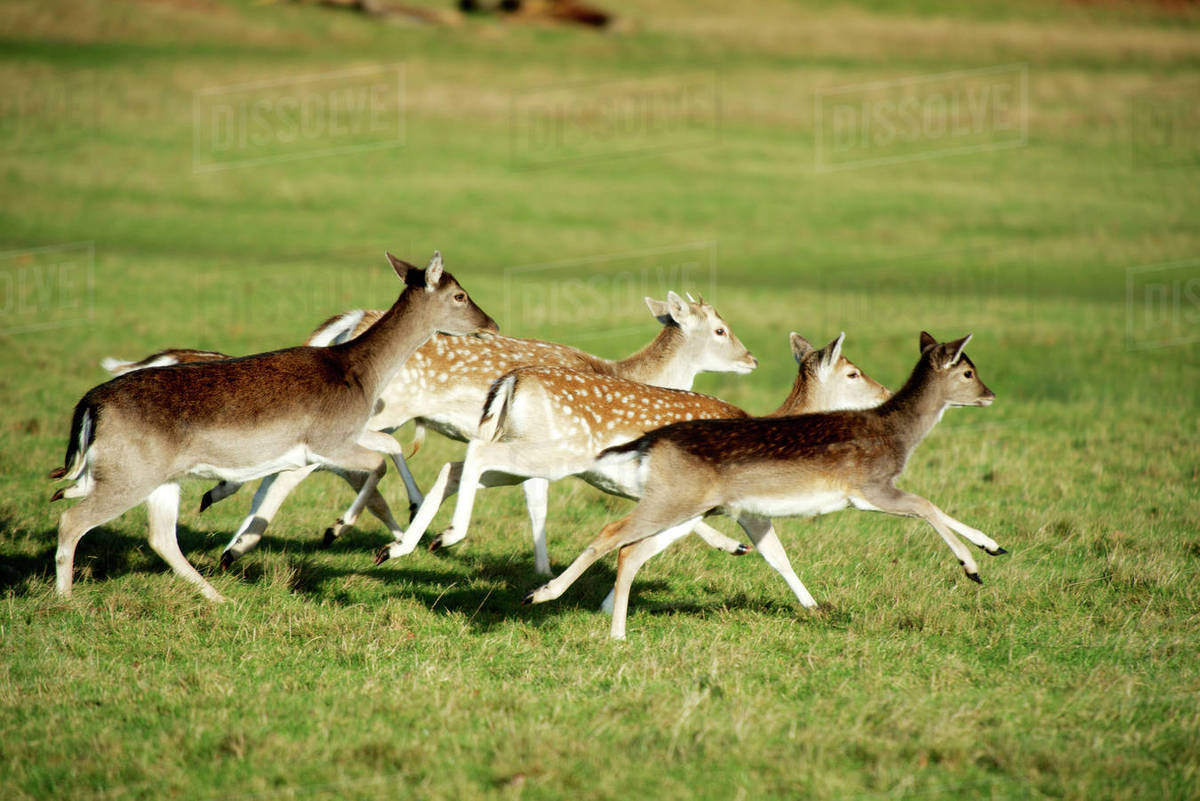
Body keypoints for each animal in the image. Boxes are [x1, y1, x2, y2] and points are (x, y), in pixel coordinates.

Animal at [48, 252, 497, 602]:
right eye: (459, 295)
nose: (490, 323)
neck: (362, 376)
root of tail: (89, 407)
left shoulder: (347, 435)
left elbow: (391, 449)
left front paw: (411, 507)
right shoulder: (327, 440)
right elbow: (377, 463)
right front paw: (341, 527)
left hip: (160, 478)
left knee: (160, 537)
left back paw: (220, 598)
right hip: (129, 474)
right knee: (72, 520)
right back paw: (66, 599)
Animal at [374, 331, 892, 611]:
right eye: (852, 372)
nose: (886, 391)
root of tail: (512, 381)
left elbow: (771, 552)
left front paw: (813, 605)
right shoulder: (710, 500)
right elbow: (763, 550)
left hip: (524, 449)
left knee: (454, 465)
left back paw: (402, 546)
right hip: (554, 452)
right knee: (474, 456)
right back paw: (449, 535)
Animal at [523, 332, 1006, 639]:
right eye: (967, 371)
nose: (991, 394)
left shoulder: (757, 512)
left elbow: (778, 557)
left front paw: (994, 546)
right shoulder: (868, 487)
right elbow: (925, 505)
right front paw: (972, 566)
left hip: (676, 503)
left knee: (625, 546)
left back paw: (608, 625)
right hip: (663, 499)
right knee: (610, 533)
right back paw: (544, 595)